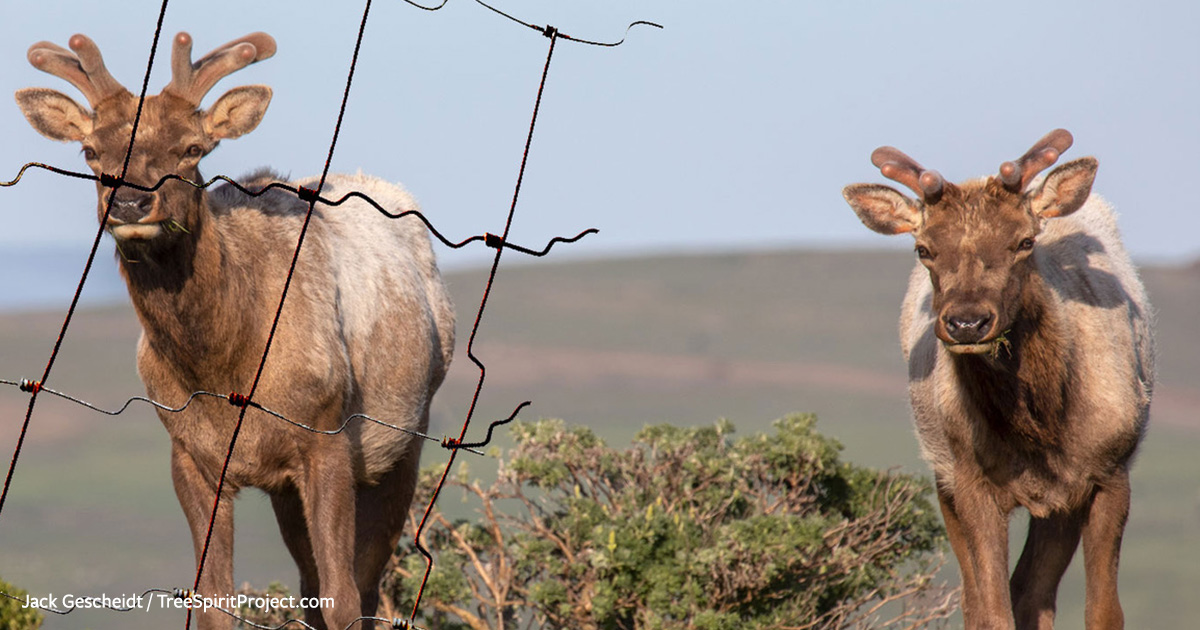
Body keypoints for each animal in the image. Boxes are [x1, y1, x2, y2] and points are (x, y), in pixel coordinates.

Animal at [14, 32, 455, 630]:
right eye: (90, 152)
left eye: (192, 149)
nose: (130, 201)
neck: (225, 369)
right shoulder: (189, 452)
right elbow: (214, 603)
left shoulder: (326, 434)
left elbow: (342, 601)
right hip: (289, 488)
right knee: (308, 583)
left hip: (403, 437)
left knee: (362, 587)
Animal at [841, 130, 1153, 630]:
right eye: (923, 248)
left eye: (1024, 241)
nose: (967, 323)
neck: (1039, 430)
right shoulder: (971, 480)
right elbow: (990, 610)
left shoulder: (1110, 469)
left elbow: (1105, 612)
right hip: (945, 473)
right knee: (990, 596)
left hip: (1062, 502)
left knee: (1033, 591)